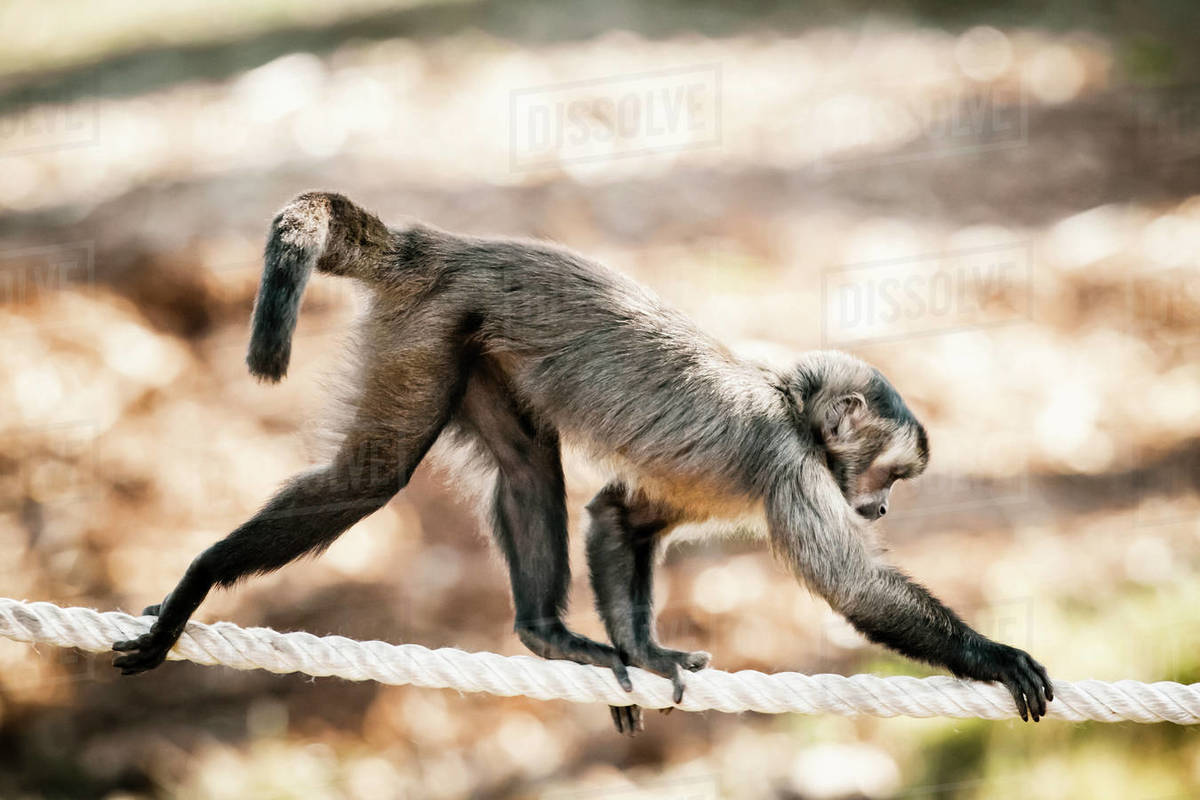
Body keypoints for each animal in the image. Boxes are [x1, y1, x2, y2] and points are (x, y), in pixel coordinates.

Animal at [112, 191, 1053, 735]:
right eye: (888, 479)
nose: (882, 510)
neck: (790, 403)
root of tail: (443, 247)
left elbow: (615, 518)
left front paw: (644, 650)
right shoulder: (789, 464)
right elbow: (855, 590)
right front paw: (993, 654)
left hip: (470, 338)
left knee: (528, 465)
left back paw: (547, 634)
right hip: (432, 324)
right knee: (374, 477)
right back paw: (200, 579)